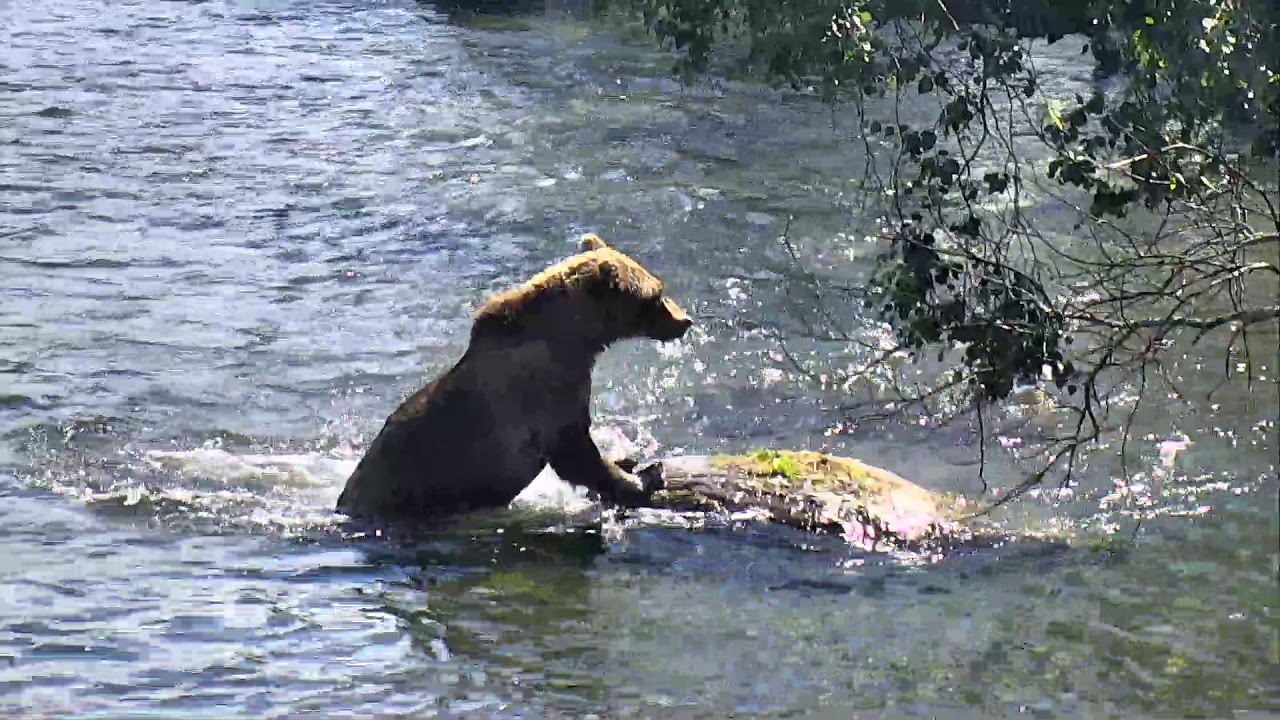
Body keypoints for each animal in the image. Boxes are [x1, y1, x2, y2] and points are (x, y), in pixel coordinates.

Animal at [335, 233, 694, 524]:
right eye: (655, 295)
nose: (685, 320)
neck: (574, 340)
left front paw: (630, 461)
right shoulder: (546, 396)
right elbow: (576, 453)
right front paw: (644, 477)